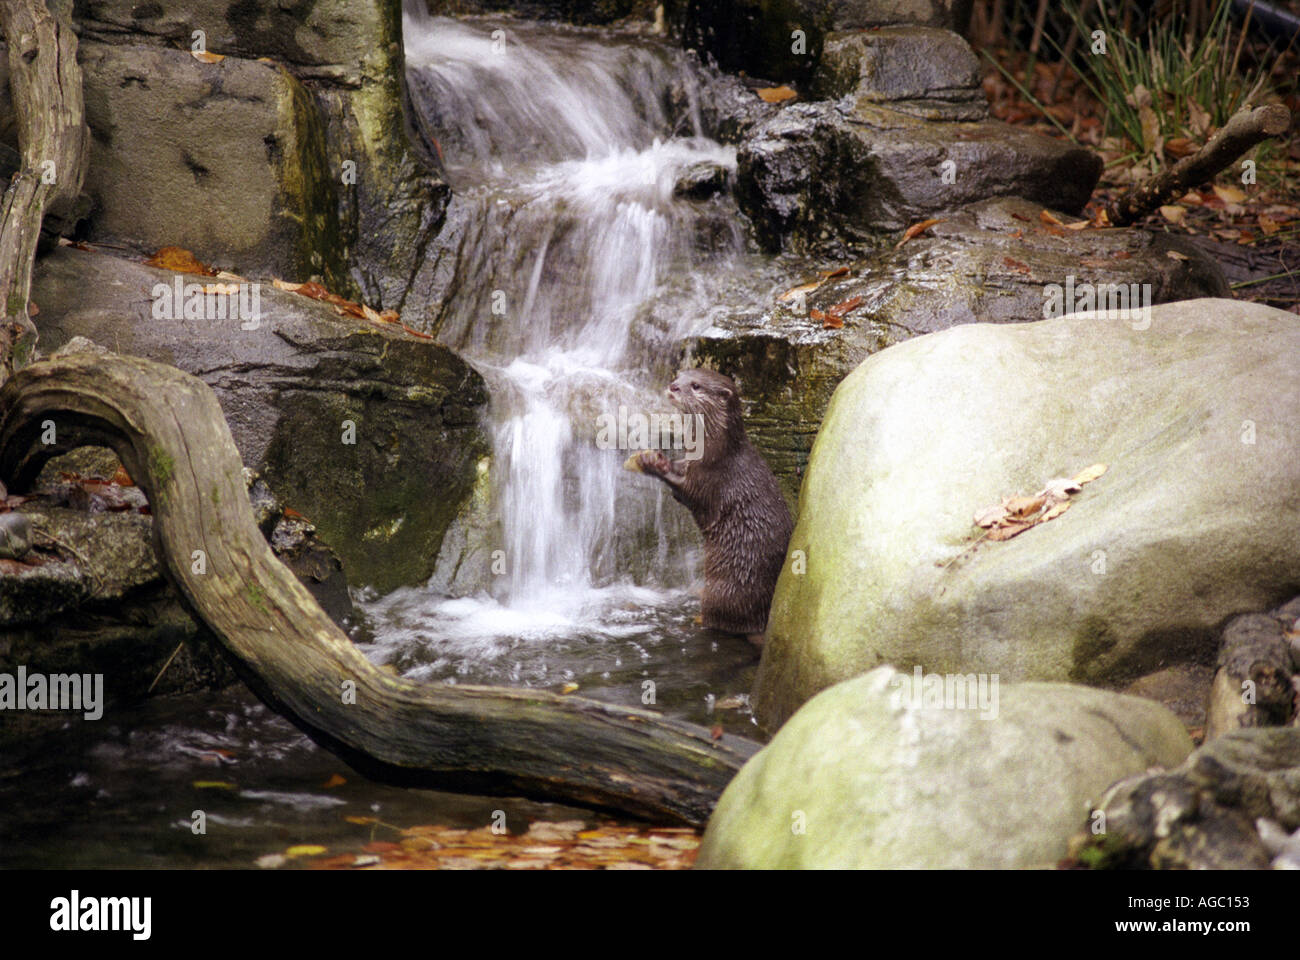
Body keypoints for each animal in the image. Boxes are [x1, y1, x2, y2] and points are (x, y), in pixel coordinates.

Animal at [627, 368, 793, 645]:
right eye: (679, 375)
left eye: (696, 386)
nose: (673, 386)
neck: (714, 451)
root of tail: (759, 619)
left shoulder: (709, 478)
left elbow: (687, 493)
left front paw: (654, 464)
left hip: (723, 591)